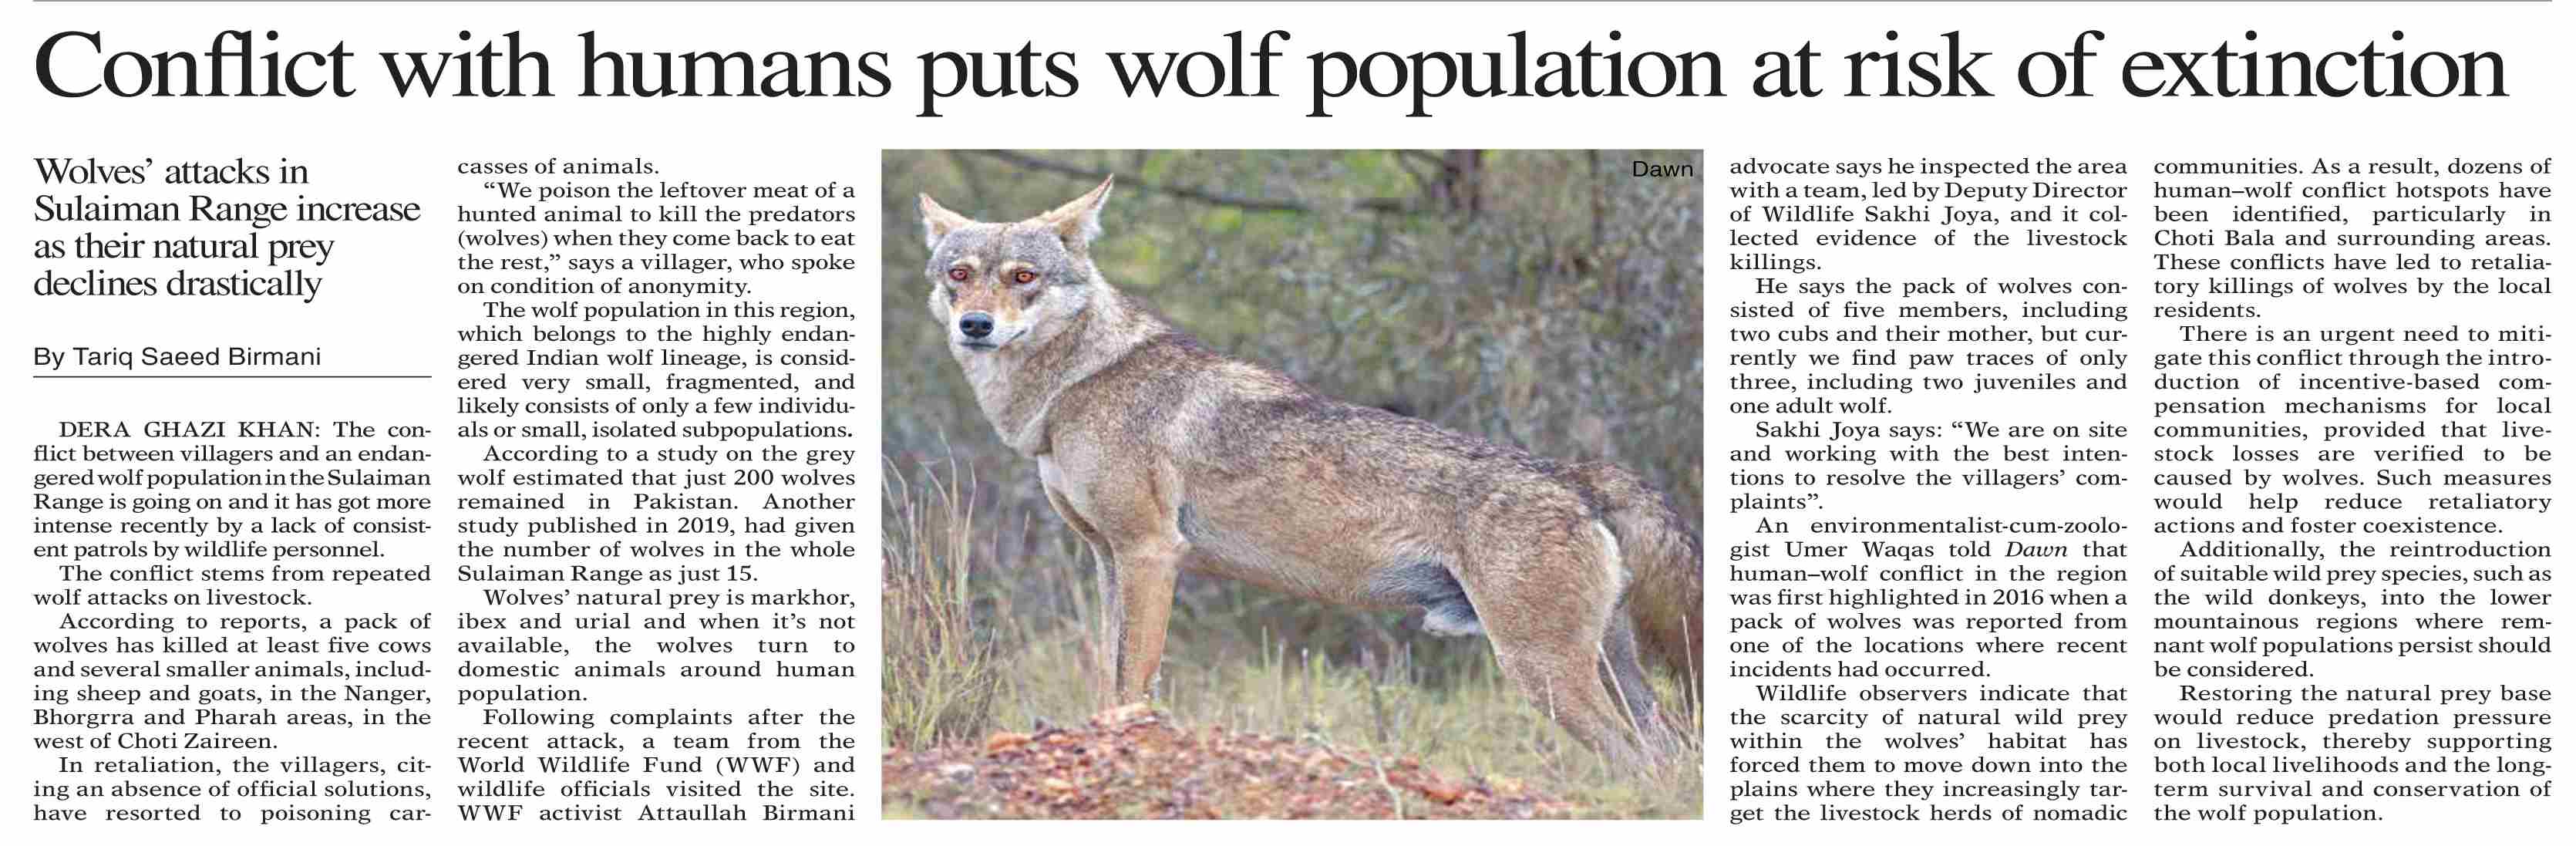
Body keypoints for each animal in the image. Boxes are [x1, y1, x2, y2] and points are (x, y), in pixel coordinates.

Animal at [917, 177, 1703, 766]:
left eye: (1023, 277)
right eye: (960, 276)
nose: (975, 326)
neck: (1074, 384)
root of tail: (1578, 475)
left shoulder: (1149, 553)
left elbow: (1134, 679)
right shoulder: (1108, 558)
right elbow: (1111, 680)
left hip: (1542, 671)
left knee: (1637, 757)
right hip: (1602, 669)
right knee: (1668, 754)